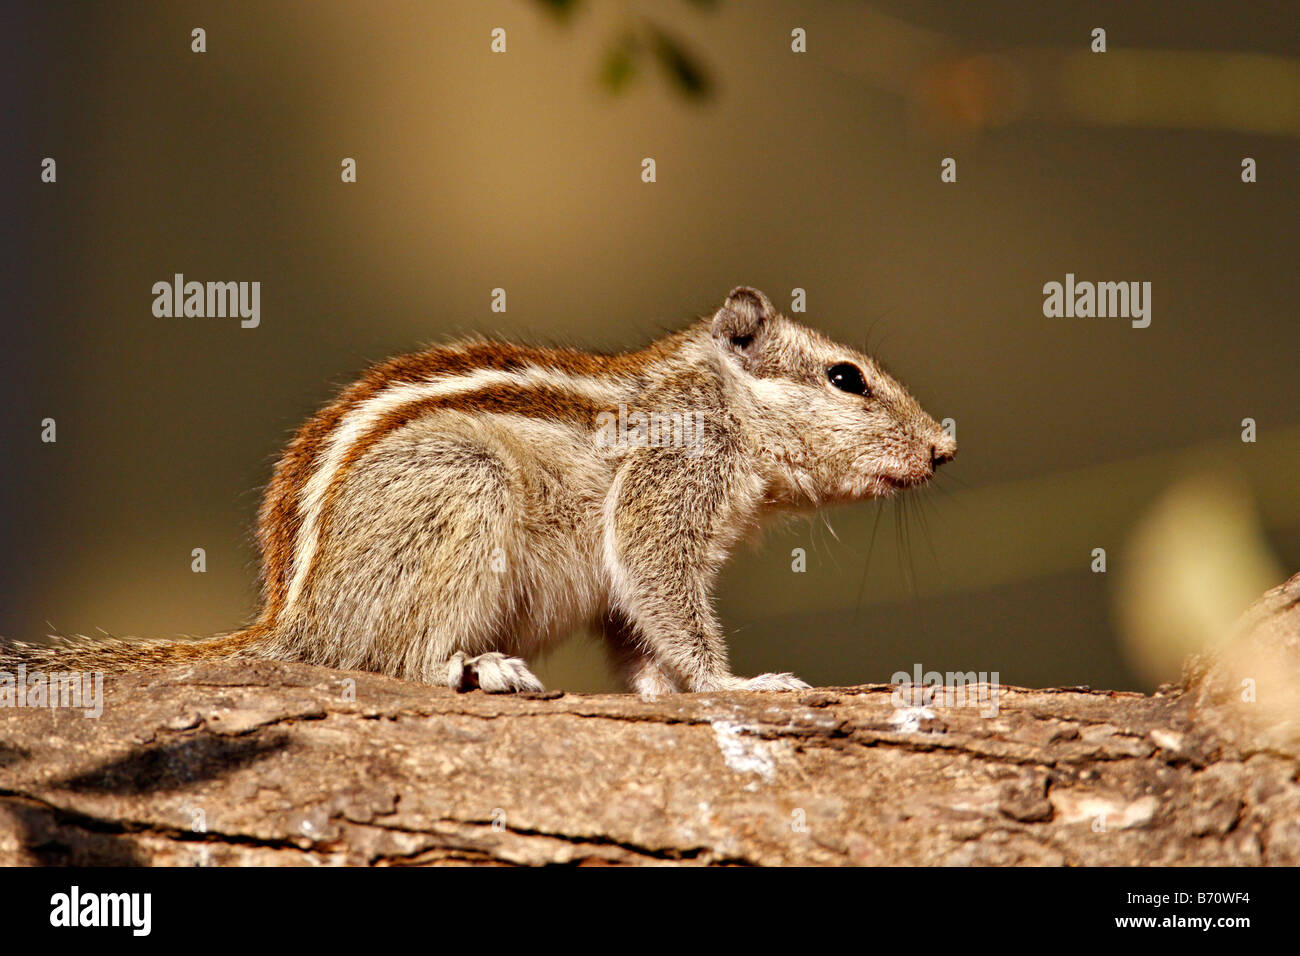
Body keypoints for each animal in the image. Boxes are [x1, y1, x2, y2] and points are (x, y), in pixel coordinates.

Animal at [3, 287, 955, 694]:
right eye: (846, 378)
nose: (945, 447)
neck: (714, 394)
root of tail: (293, 620)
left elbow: (638, 635)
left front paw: (669, 692)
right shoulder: (669, 489)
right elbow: (663, 594)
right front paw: (739, 687)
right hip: (466, 483)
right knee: (384, 659)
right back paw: (477, 667)